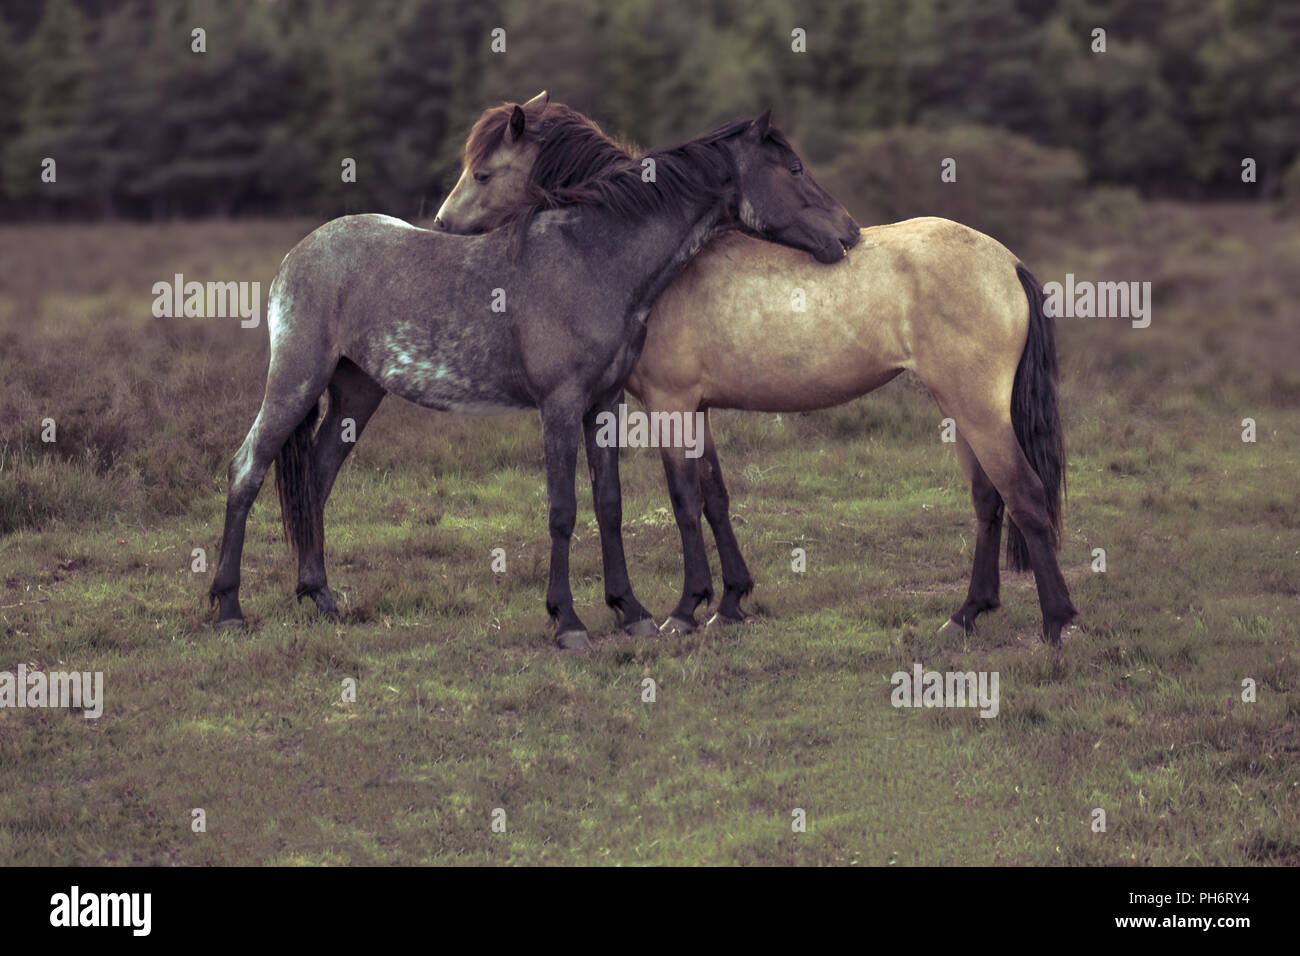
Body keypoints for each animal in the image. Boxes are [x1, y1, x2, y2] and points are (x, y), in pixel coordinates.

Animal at [208, 103, 860, 650]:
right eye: (795, 168)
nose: (849, 233)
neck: (593, 258)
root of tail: (298, 255)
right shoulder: (560, 405)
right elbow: (563, 510)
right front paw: (568, 622)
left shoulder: (604, 404)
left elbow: (609, 502)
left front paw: (631, 611)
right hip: (296, 380)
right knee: (248, 470)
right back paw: (227, 607)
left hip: (355, 393)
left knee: (315, 479)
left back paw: (321, 598)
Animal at [434, 93, 1079, 644]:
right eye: (793, 168)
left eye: (483, 173)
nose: (441, 224)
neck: (655, 263)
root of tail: (1007, 261)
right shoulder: (697, 409)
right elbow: (715, 498)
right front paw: (730, 603)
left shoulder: (668, 405)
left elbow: (683, 500)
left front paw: (684, 610)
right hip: (959, 409)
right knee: (989, 501)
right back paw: (967, 614)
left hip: (977, 408)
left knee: (1024, 494)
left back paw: (1058, 623)